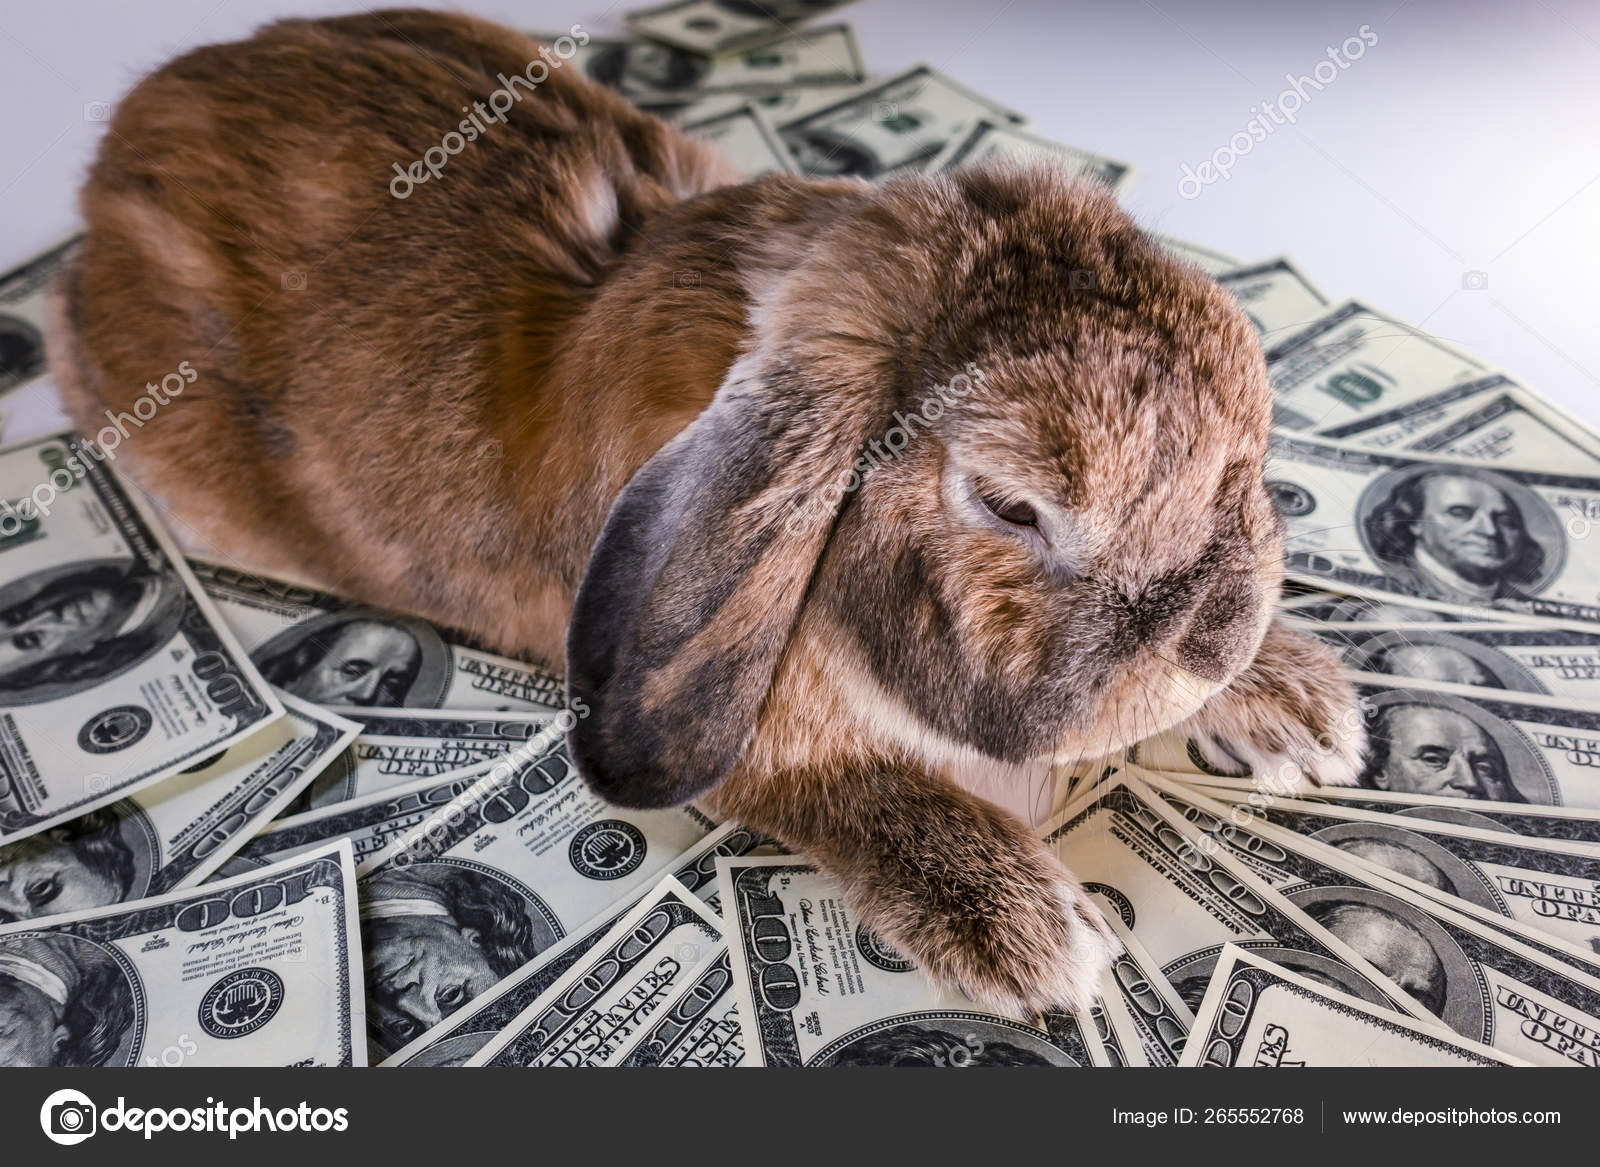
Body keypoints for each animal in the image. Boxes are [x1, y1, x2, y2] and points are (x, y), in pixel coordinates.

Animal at [49, 10, 1363, 1015]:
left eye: (1243, 452)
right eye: (1011, 505)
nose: (1210, 644)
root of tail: (112, 159)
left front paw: (1300, 710)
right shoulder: (732, 729)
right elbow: (849, 792)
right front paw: (1036, 936)